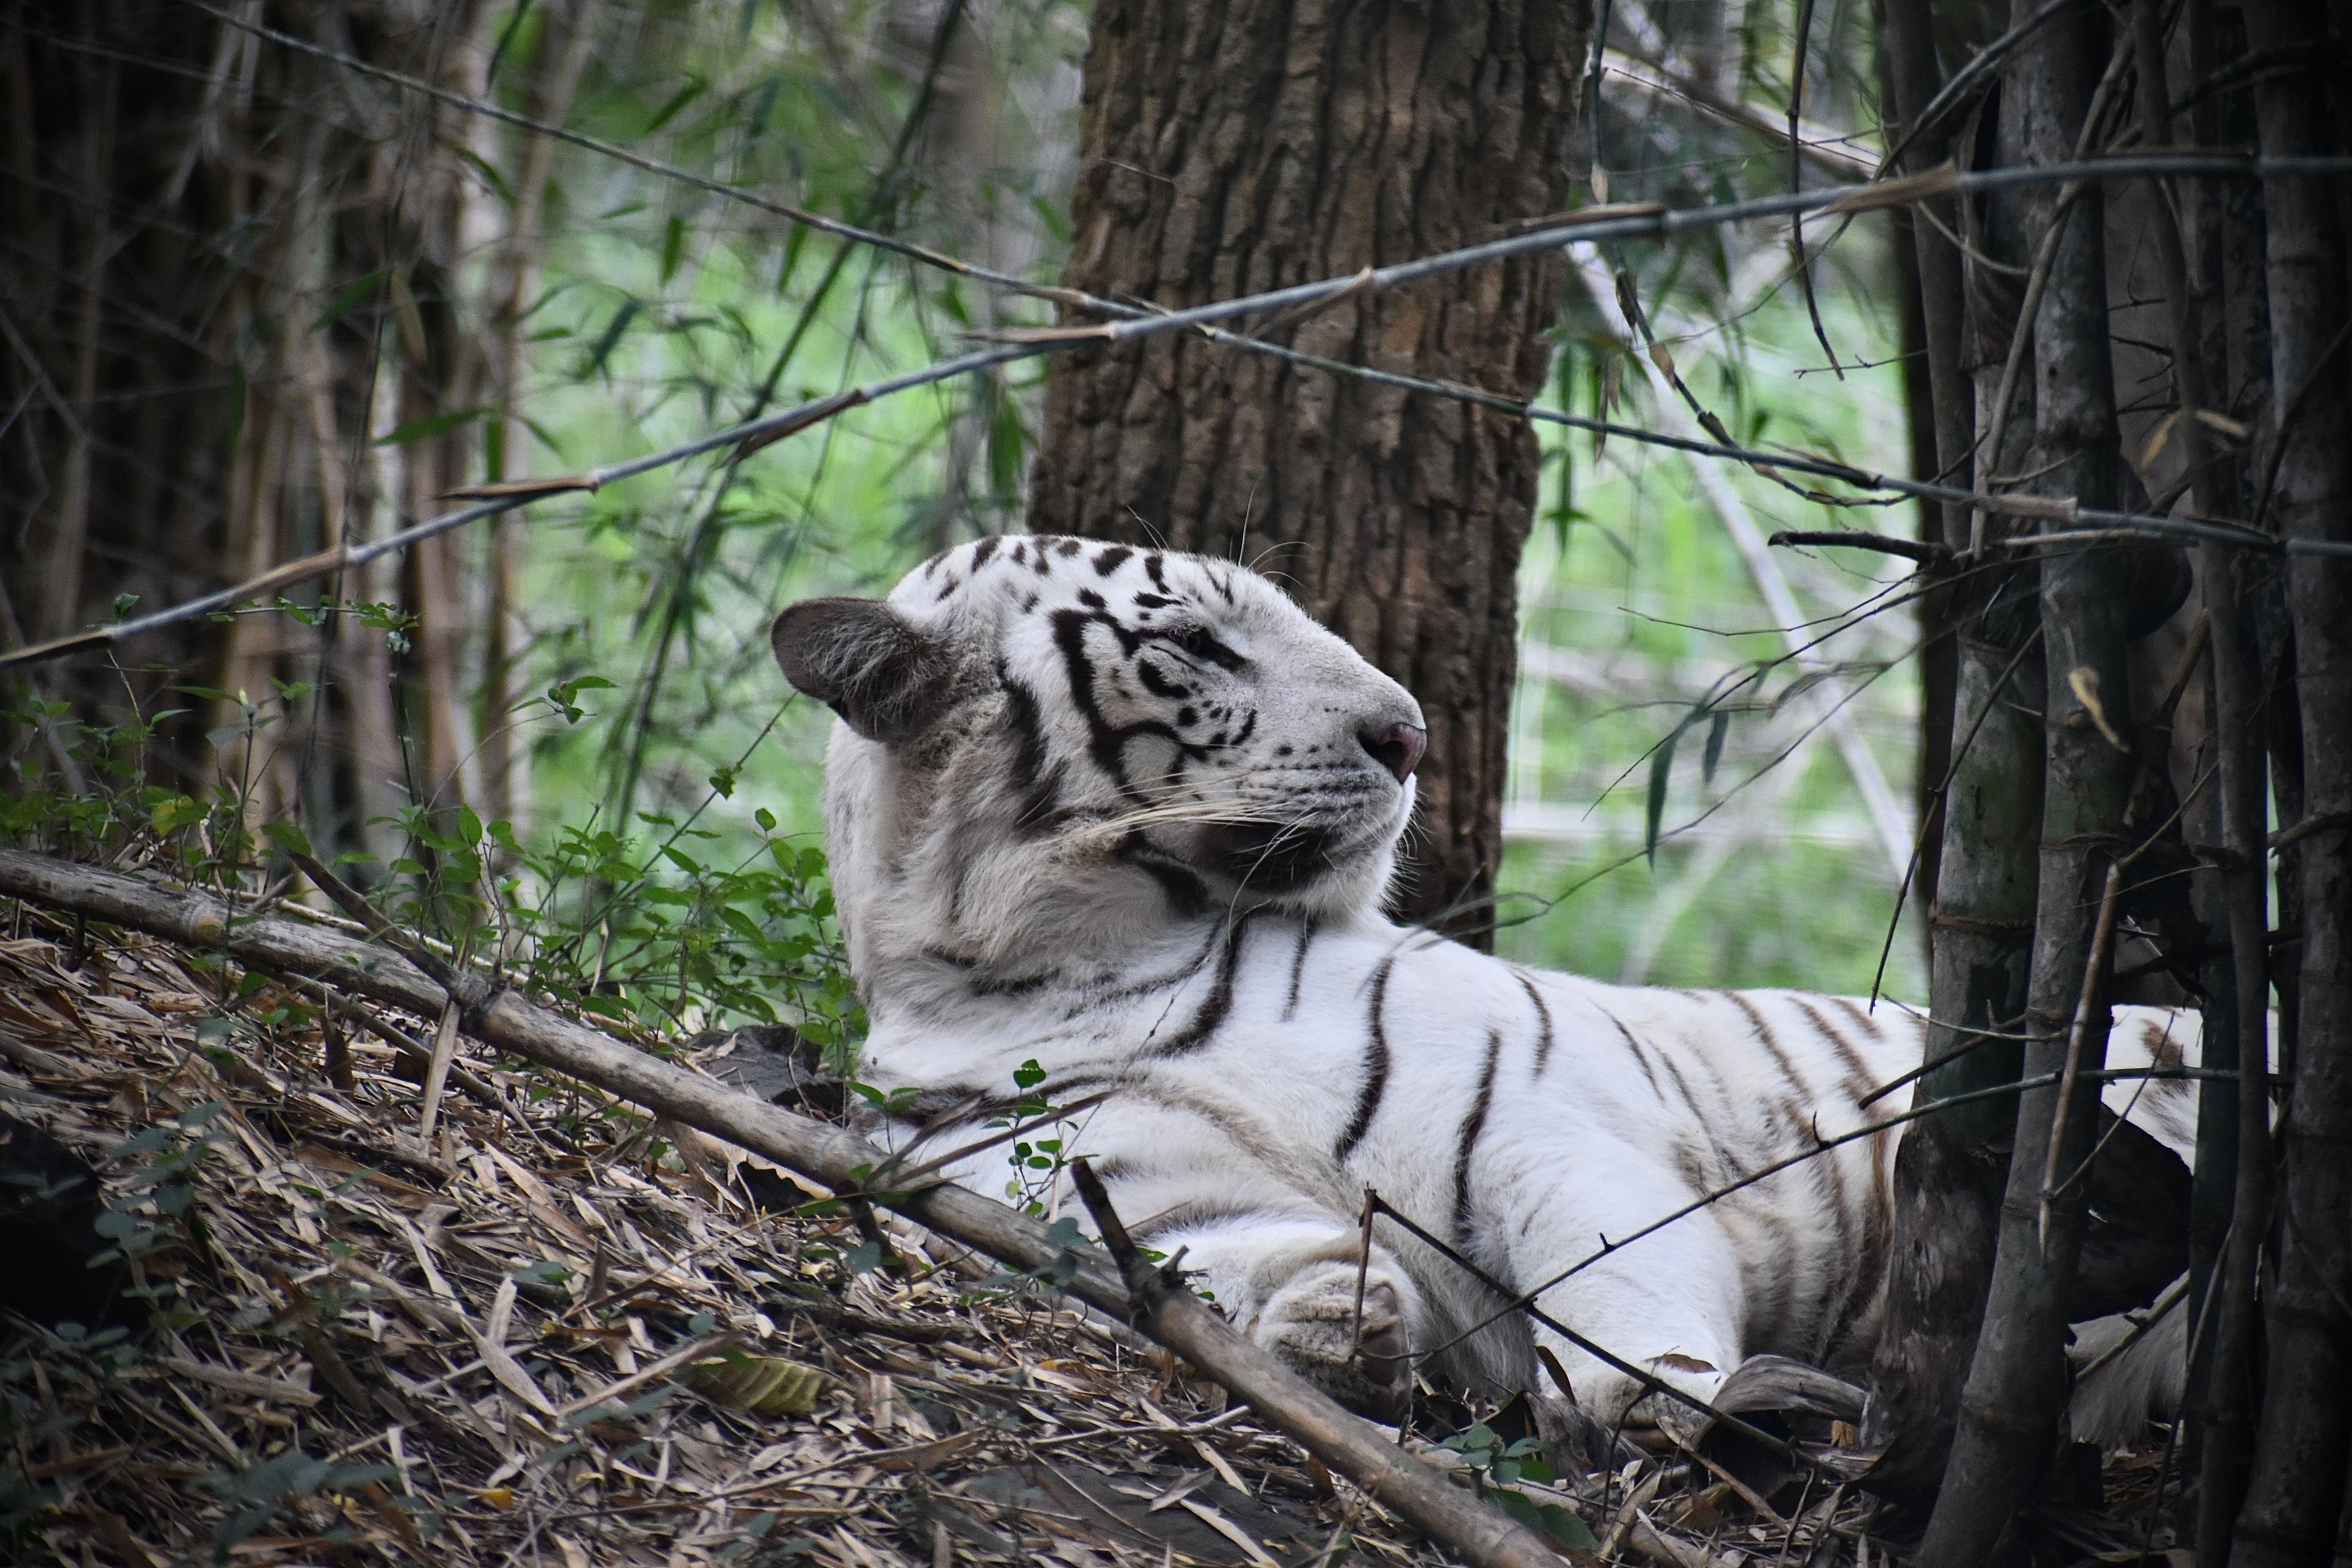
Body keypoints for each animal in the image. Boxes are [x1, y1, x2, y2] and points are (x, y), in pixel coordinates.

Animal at [767, 534, 2200, 1436]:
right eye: (1200, 646)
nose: (1409, 732)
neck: (1062, 961)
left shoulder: (1540, 1123)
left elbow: (1618, 1284)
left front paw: (1683, 1406)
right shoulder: (1103, 1180)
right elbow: (1206, 1258)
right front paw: (1333, 1314)